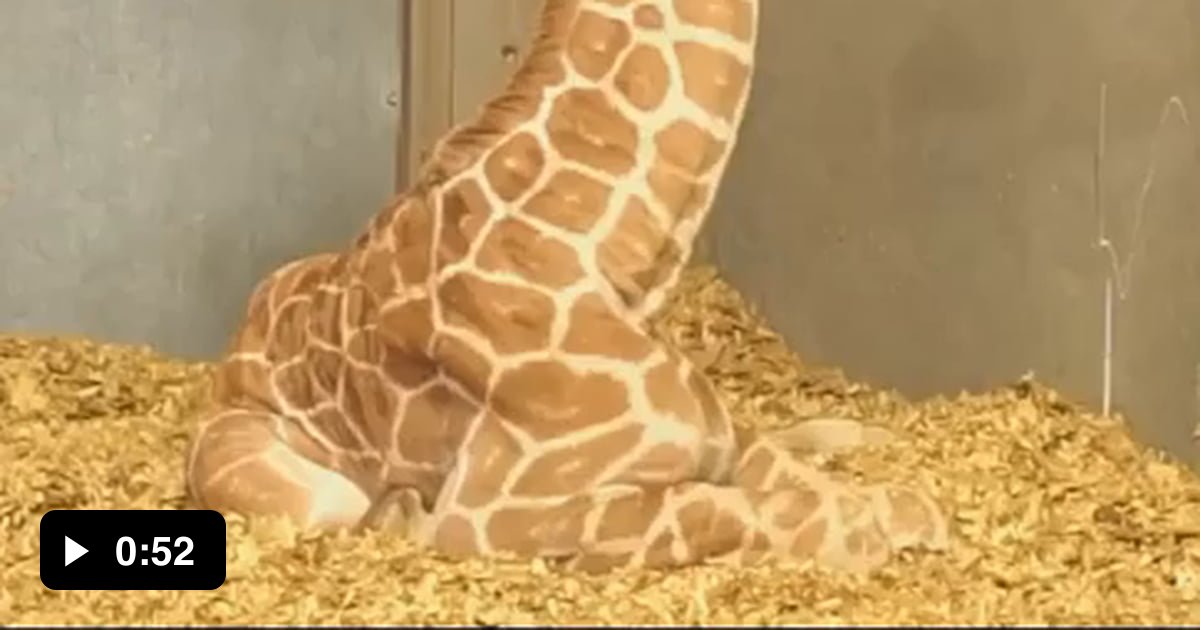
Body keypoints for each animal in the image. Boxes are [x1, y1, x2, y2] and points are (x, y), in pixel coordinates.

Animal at [184, 0, 950, 574]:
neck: (607, 254)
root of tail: (232, 358)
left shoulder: (716, 436)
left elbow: (821, 488)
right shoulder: (492, 513)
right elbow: (758, 512)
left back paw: (858, 429)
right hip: (298, 485)